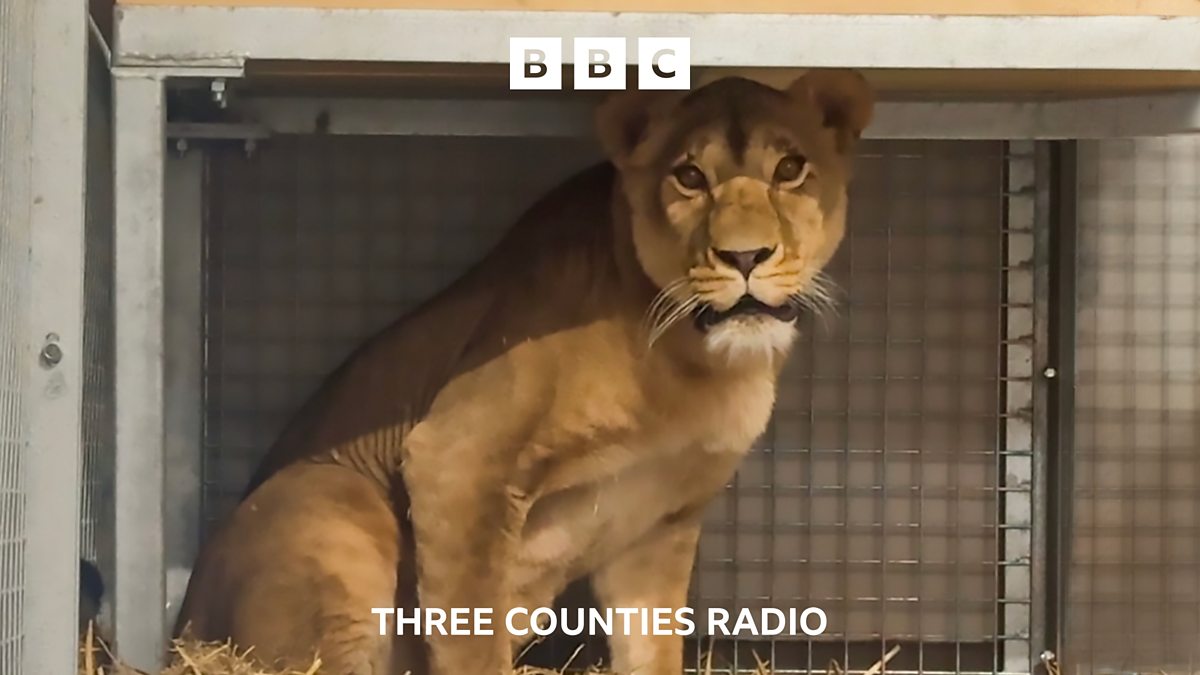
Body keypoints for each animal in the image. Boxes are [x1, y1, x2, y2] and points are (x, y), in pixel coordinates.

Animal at [173, 69, 874, 675]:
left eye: (789, 169)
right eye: (689, 176)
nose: (745, 256)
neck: (694, 364)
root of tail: (184, 625)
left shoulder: (657, 527)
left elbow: (652, 651)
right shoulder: (458, 460)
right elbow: (469, 639)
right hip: (334, 499)